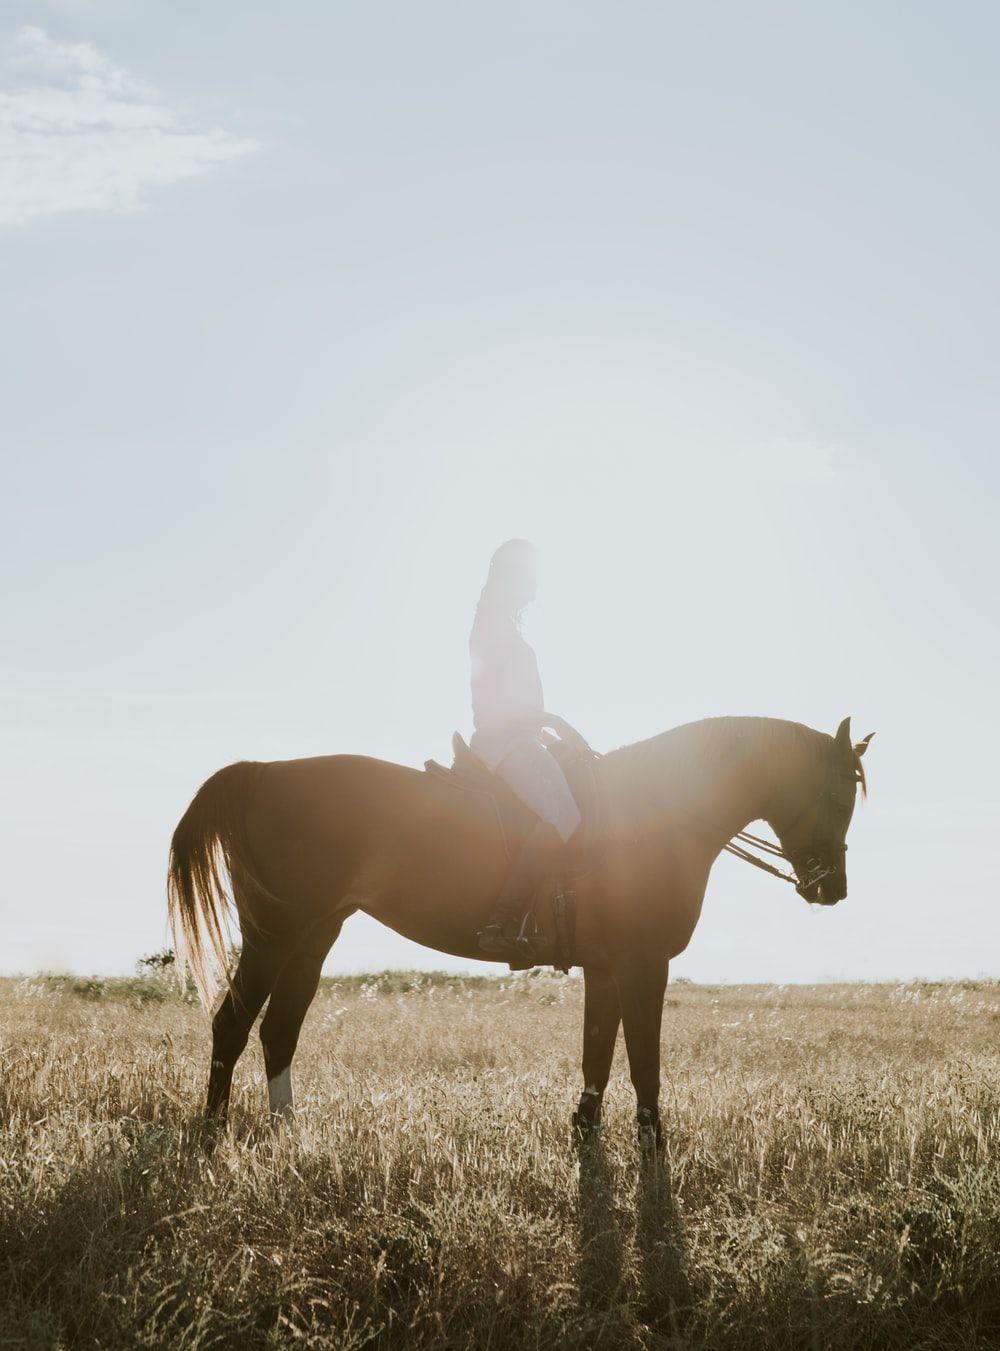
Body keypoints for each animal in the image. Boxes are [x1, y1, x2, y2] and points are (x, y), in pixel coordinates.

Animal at [167, 714, 872, 1148]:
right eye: (840, 797)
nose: (831, 889)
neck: (653, 812)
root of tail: (265, 771)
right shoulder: (643, 963)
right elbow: (643, 1060)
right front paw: (653, 1144)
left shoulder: (606, 966)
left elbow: (598, 1052)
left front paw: (586, 1133)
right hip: (273, 935)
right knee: (232, 1023)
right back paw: (213, 1132)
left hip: (314, 935)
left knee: (279, 1028)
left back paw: (287, 1133)